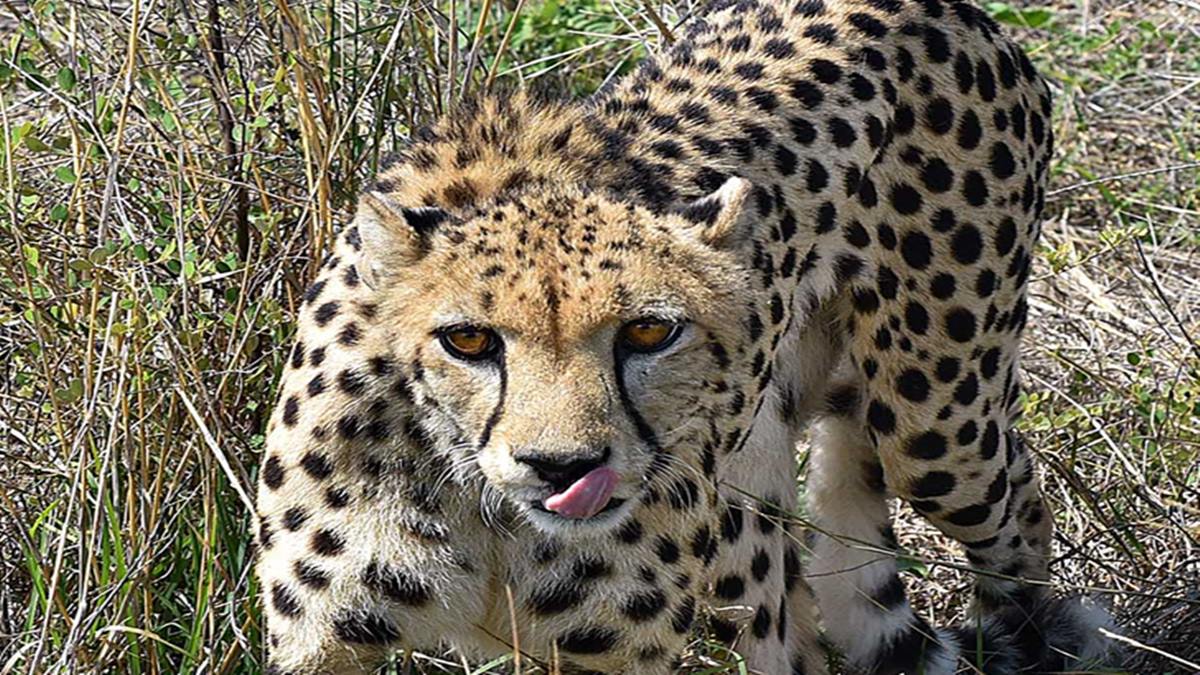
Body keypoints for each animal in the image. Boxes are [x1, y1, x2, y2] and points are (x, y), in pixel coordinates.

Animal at [254, 0, 1117, 673]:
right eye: (467, 340)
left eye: (648, 331)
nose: (562, 467)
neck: (485, 505)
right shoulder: (322, 641)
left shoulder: (617, 652)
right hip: (753, 502)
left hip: (936, 428)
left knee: (1017, 501)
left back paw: (1029, 639)